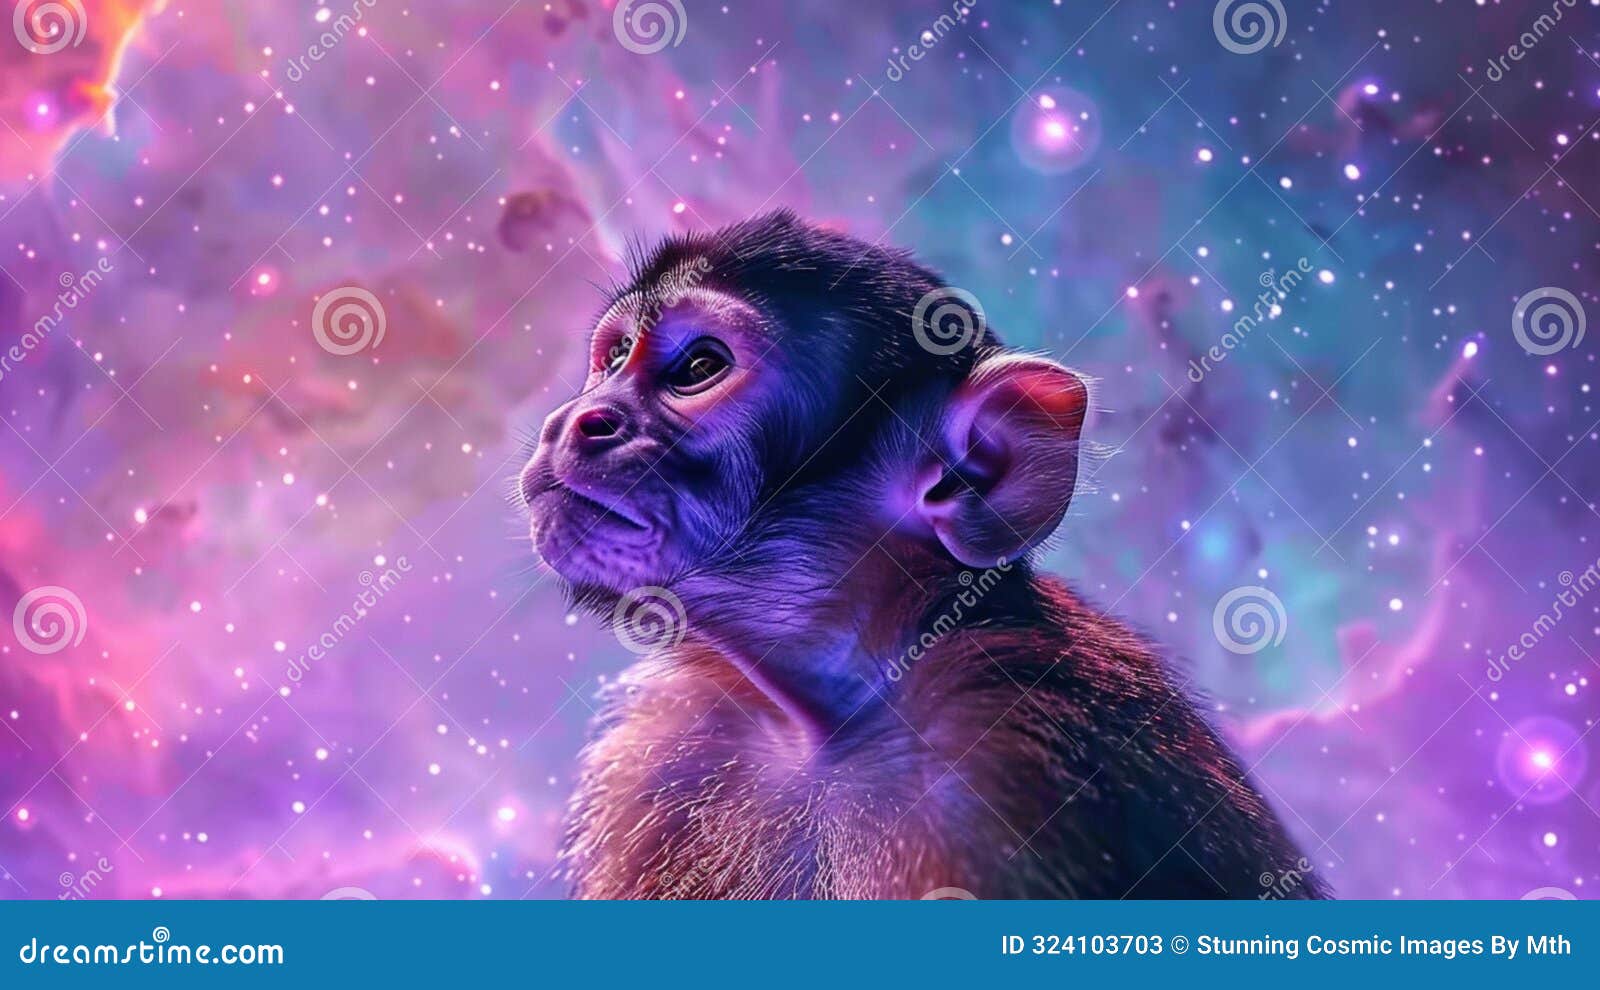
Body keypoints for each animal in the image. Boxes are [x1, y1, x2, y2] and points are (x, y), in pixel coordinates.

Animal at [520, 209, 1327, 899]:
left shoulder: (999, 767)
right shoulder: (672, 748)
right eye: (614, 358)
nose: (582, 418)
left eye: (695, 368)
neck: (842, 713)